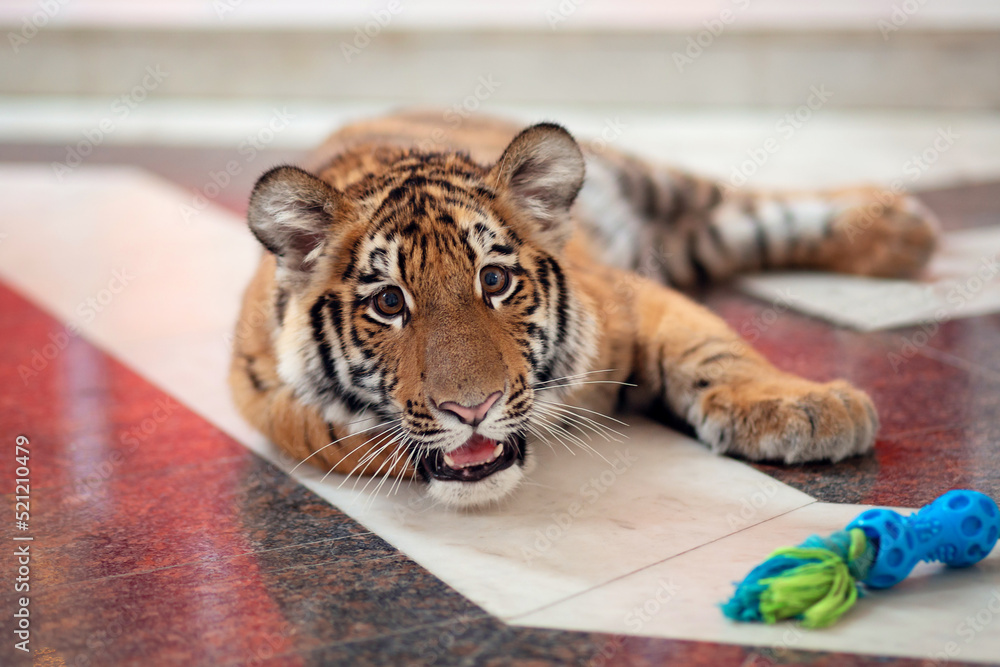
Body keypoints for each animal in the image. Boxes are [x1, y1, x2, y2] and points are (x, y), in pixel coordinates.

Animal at [229, 109, 938, 508]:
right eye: (388, 302)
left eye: (494, 280)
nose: (473, 409)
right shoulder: (264, 395)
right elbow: (341, 434)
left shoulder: (628, 294)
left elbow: (712, 345)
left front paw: (802, 409)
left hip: (656, 179)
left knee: (752, 204)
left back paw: (901, 228)